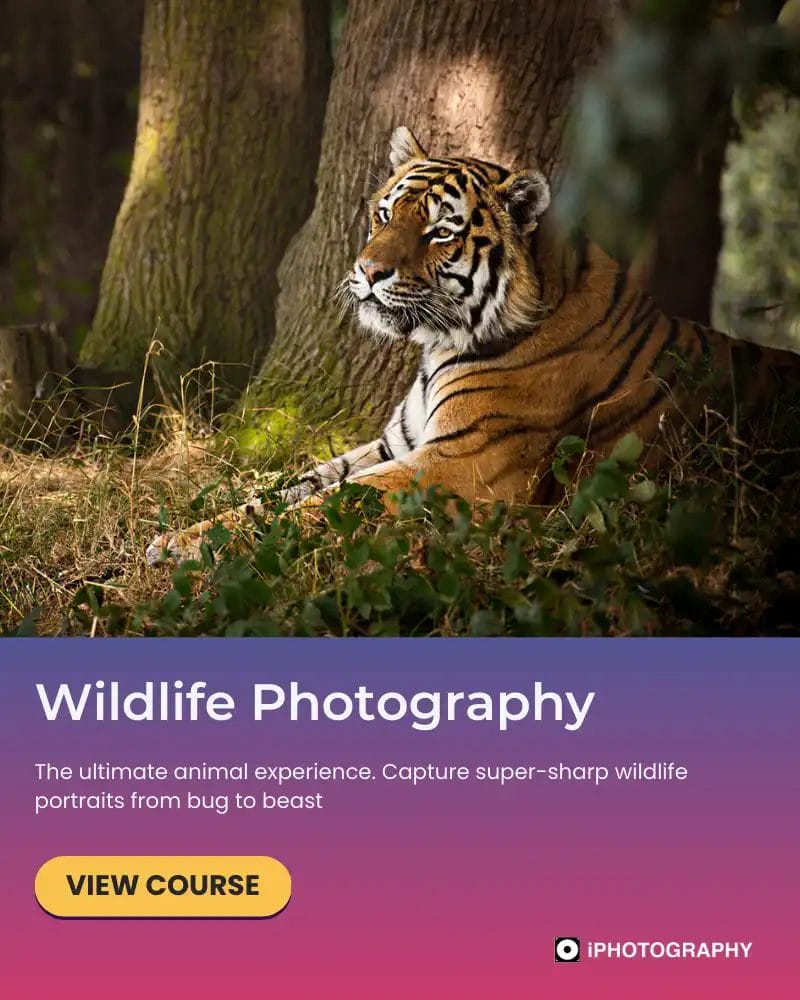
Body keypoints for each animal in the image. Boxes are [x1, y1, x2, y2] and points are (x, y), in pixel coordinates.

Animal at [145, 123, 800, 564]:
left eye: (439, 232)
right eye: (384, 213)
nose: (367, 270)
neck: (437, 347)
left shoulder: (460, 465)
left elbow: (328, 501)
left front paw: (199, 546)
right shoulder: (396, 442)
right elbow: (289, 484)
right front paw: (179, 535)